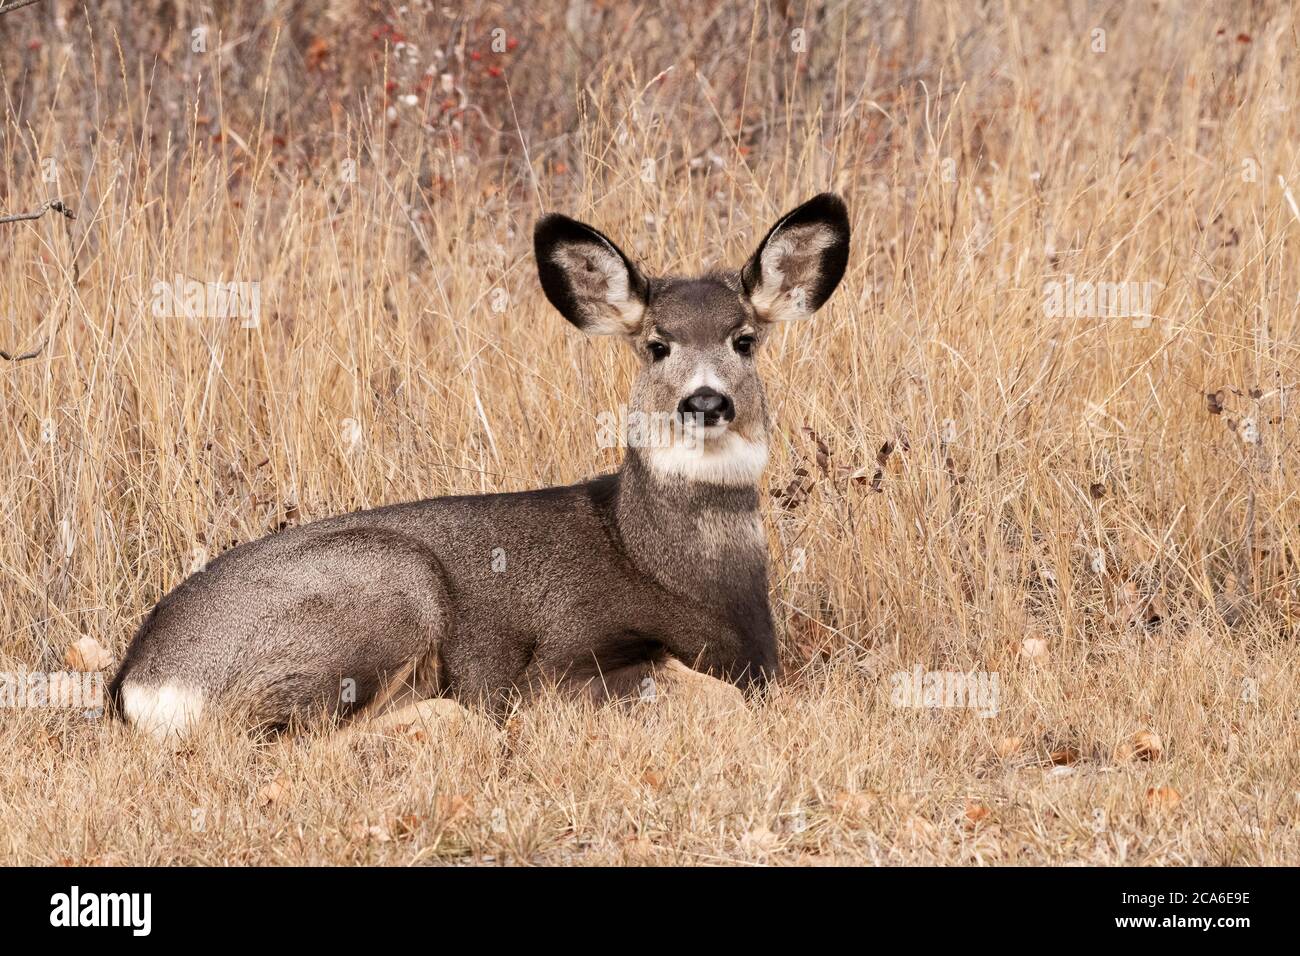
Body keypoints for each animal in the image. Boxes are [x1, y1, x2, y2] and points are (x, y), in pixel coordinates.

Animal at [108, 193, 851, 740]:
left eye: (744, 339)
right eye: (657, 344)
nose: (705, 400)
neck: (665, 565)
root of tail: (138, 681)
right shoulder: (563, 658)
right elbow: (709, 693)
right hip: (389, 585)